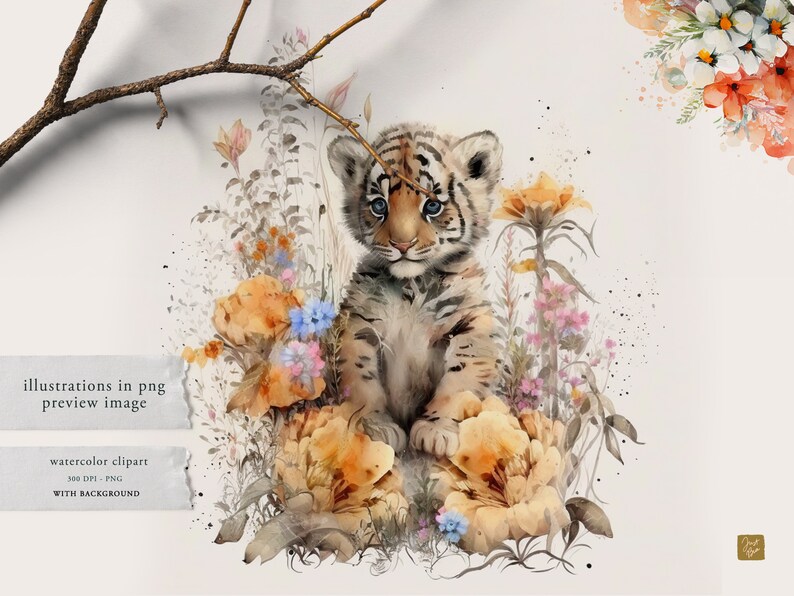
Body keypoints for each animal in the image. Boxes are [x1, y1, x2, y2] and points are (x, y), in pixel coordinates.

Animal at [326, 123, 502, 458]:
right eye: (379, 205)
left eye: (432, 205)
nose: (402, 244)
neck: (412, 286)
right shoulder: (359, 323)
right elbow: (361, 378)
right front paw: (375, 427)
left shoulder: (471, 323)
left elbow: (460, 379)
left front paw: (437, 430)